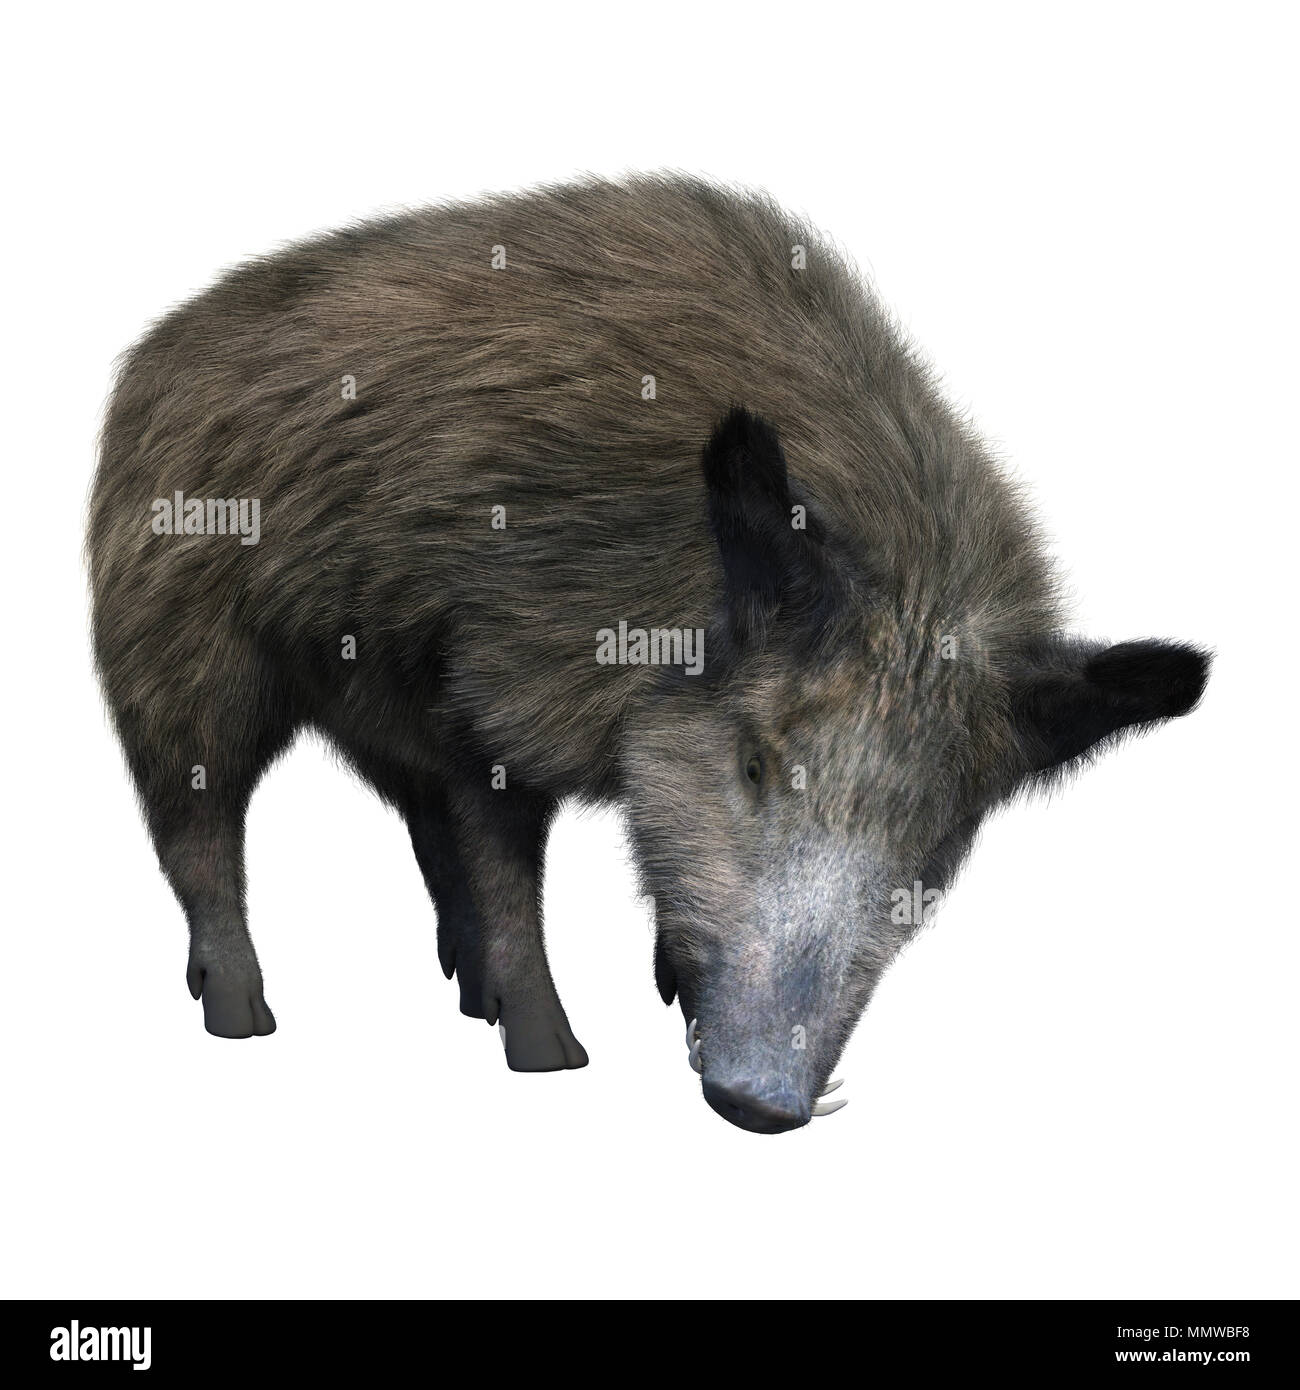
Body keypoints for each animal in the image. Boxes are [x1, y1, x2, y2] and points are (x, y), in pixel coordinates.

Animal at [88, 175, 1209, 1133]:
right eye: (755, 763)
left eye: (940, 834)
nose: (760, 1106)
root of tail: (152, 354)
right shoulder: (489, 682)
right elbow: (507, 868)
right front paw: (552, 1059)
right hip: (176, 653)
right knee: (198, 825)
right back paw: (244, 1020)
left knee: (409, 824)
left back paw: (456, 995)